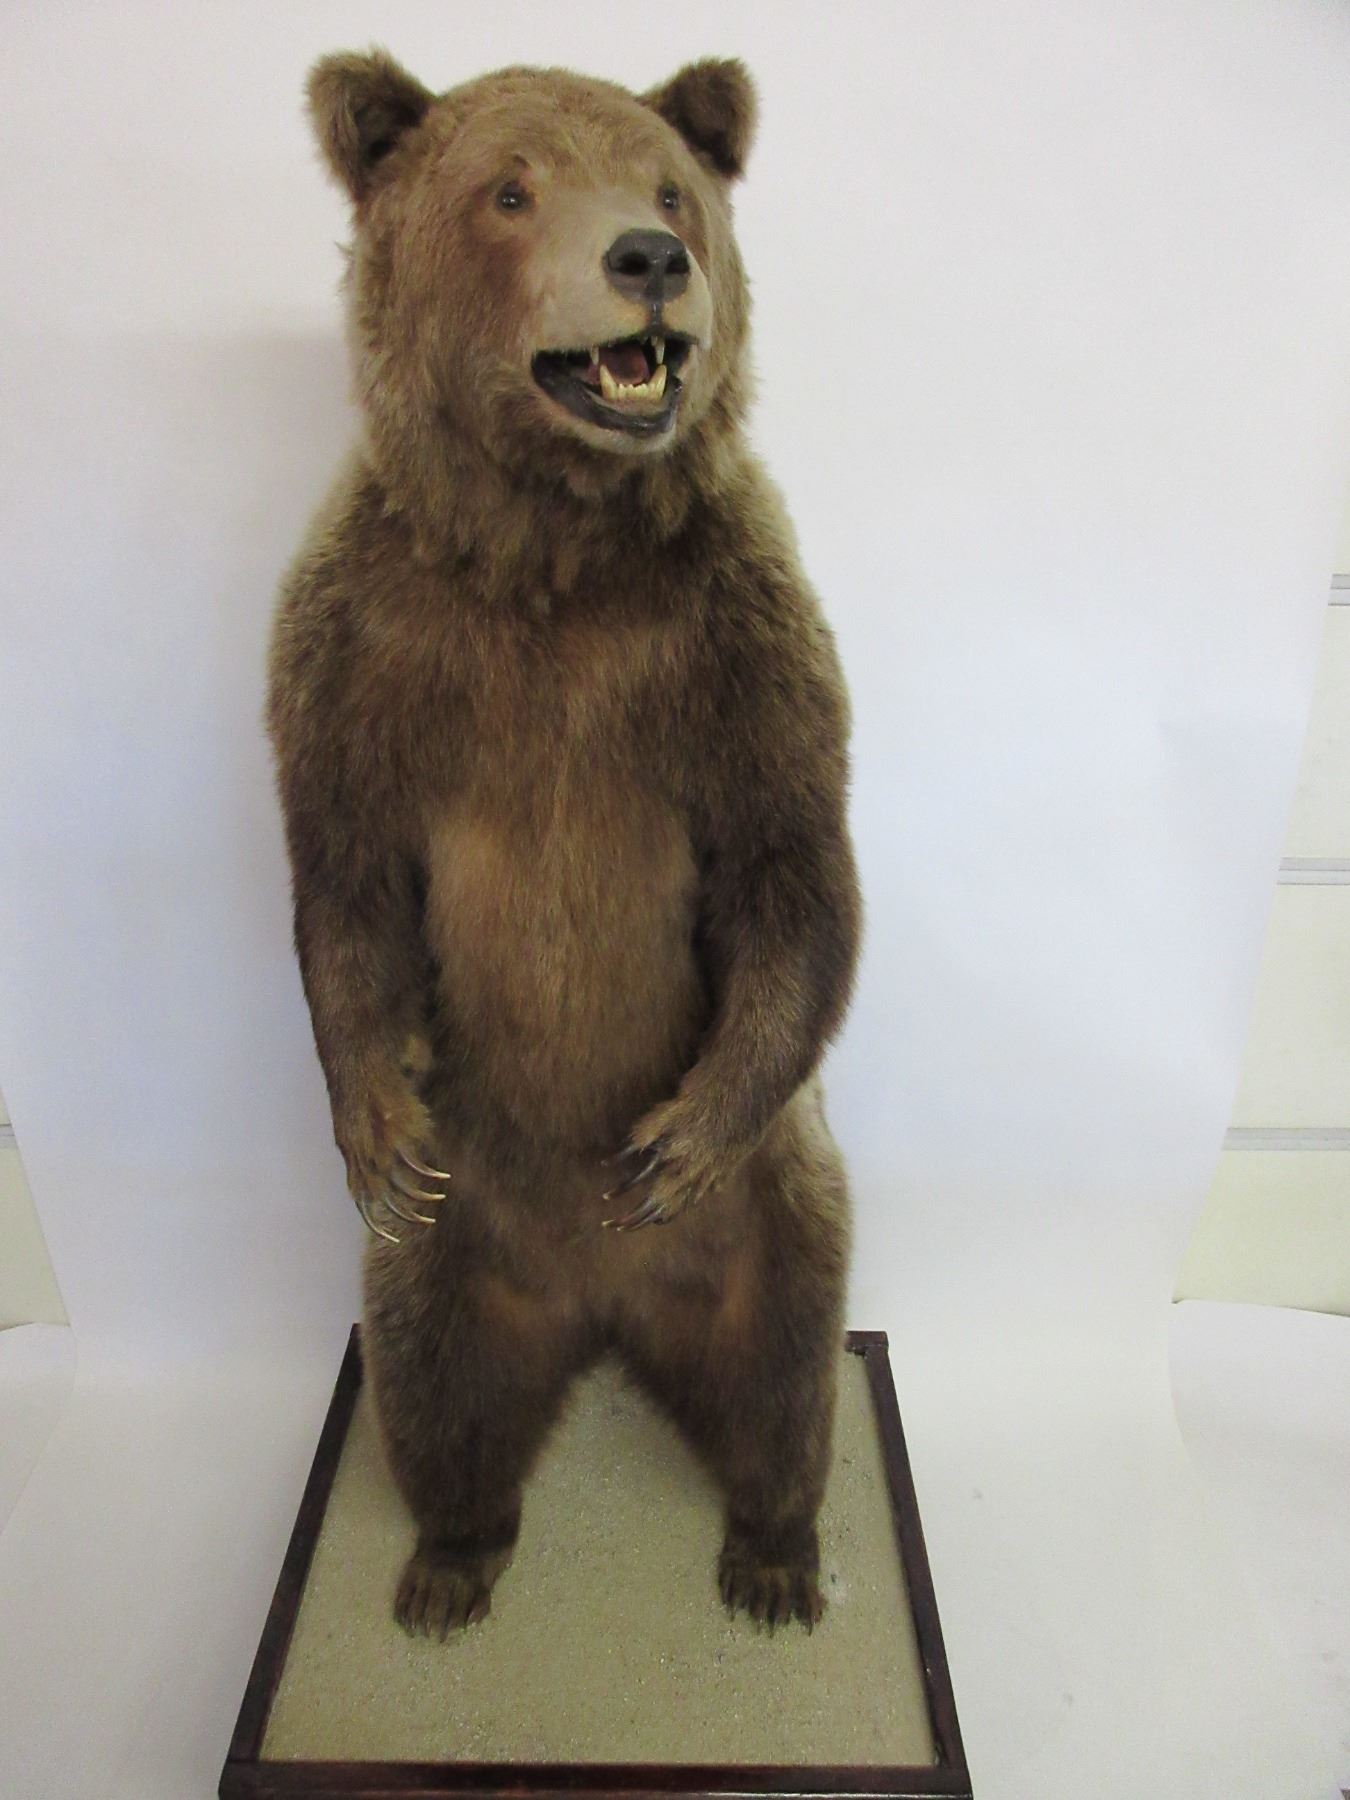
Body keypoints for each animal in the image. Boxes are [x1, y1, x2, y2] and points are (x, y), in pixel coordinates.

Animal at [267, 46, 862, 1636]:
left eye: (670, 185)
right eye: (509, 189)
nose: (648, 259)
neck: (549, 552)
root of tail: (603, 1312)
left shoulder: (731, 639)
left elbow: (794, 873)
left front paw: (674, 1139)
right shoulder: (364, 641)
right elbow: (345, 880)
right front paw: (370, 1128)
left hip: (779, 1228)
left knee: (788, 1380)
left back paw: (775, 1558)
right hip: (458, 1245)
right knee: (433, 1388)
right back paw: (446, 1567)